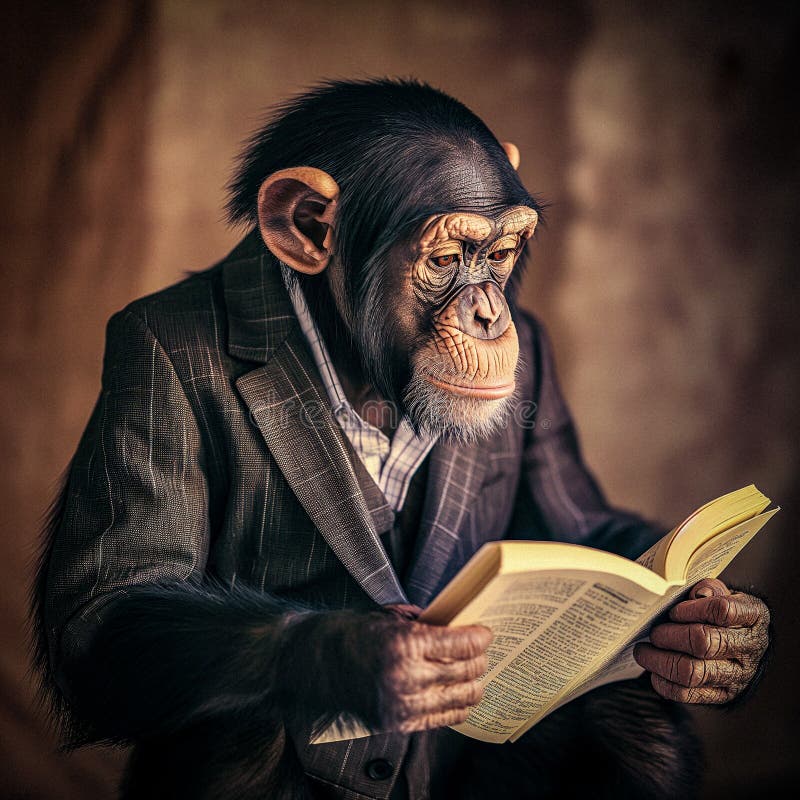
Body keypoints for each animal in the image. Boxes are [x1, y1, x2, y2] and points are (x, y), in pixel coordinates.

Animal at [32, 78, 770, 800]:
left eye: (500, 255)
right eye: (445, 258)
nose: (490, 315)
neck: (359, 364)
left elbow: (583, 523)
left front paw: (719, 636)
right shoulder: (146, 367)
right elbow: (110, 607)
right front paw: (373, 660)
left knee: (630, 711)